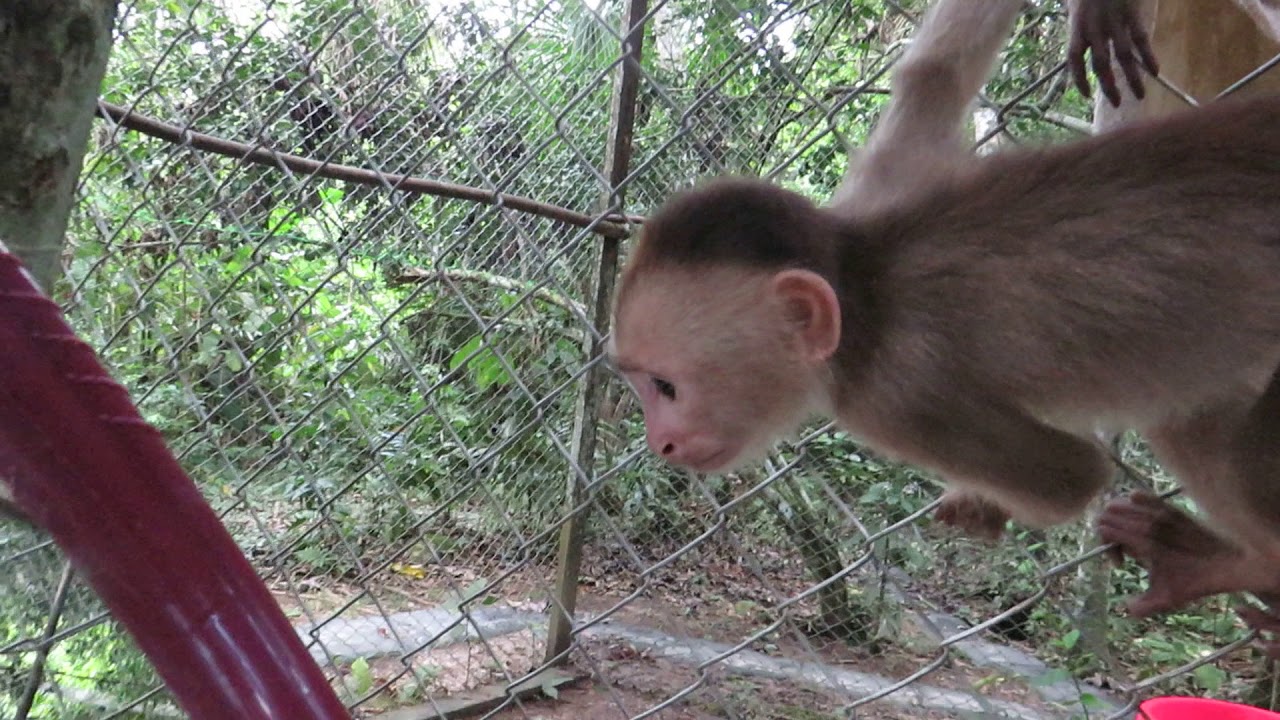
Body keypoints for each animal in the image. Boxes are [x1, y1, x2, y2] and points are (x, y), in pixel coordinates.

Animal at [609, 92, 1280, 620]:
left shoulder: (894, 398)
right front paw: (979, 501)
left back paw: (1226, 566)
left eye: (666, 387)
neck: (870, 293)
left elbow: (1073, 476)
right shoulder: (878, 193)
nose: (660, 444)